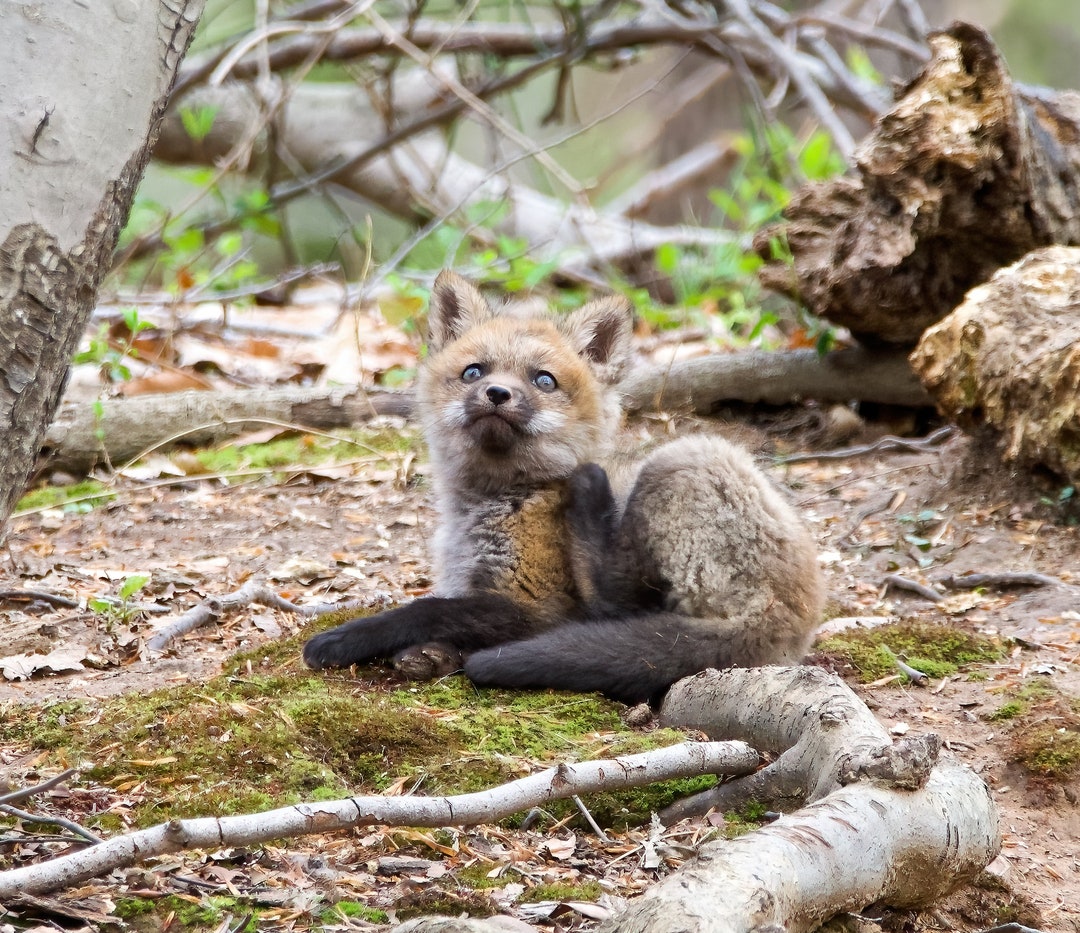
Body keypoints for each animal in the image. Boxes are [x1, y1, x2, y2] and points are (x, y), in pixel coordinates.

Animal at [302, 270, 825, 706]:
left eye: (544, 380)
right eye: (474, 372)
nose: (497, 394)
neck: (500, 503)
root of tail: (793, 619)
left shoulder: (539, 607)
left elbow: (424, 608)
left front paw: (349, 637)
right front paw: (431, 657)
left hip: (683, 459)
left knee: (617, 602)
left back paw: (590, 495)